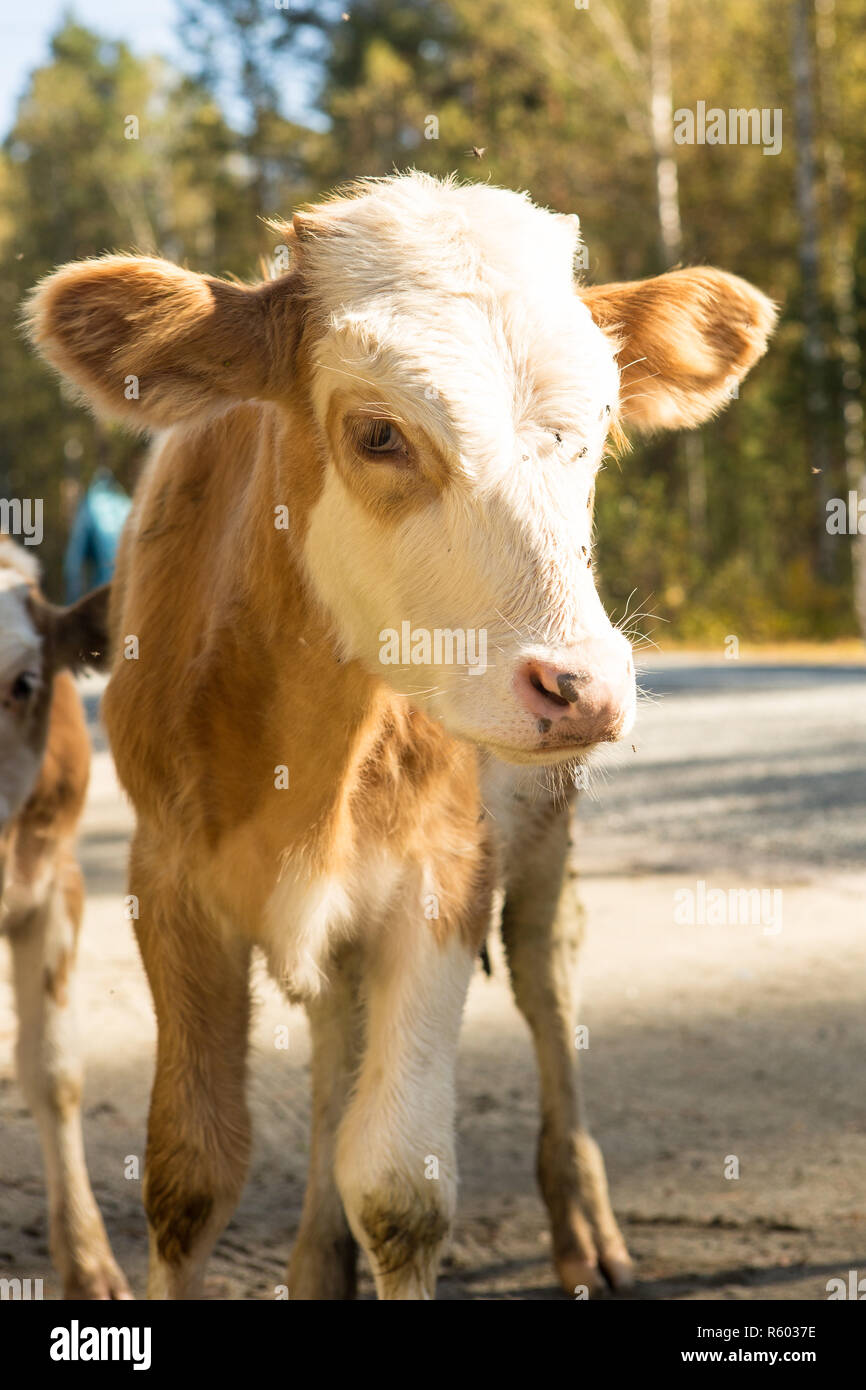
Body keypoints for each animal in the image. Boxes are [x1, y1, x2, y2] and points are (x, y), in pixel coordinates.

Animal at [26, 172, 775, 1299]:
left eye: (599, 423)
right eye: (380, 433)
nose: (583, 686)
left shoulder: (441, 875)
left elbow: (398, 1183)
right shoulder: (168, 881)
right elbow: (190, 1173)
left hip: (542, 835)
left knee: (546, 978)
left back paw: (583, 1224)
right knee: (335, 1038)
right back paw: (314, 1259)